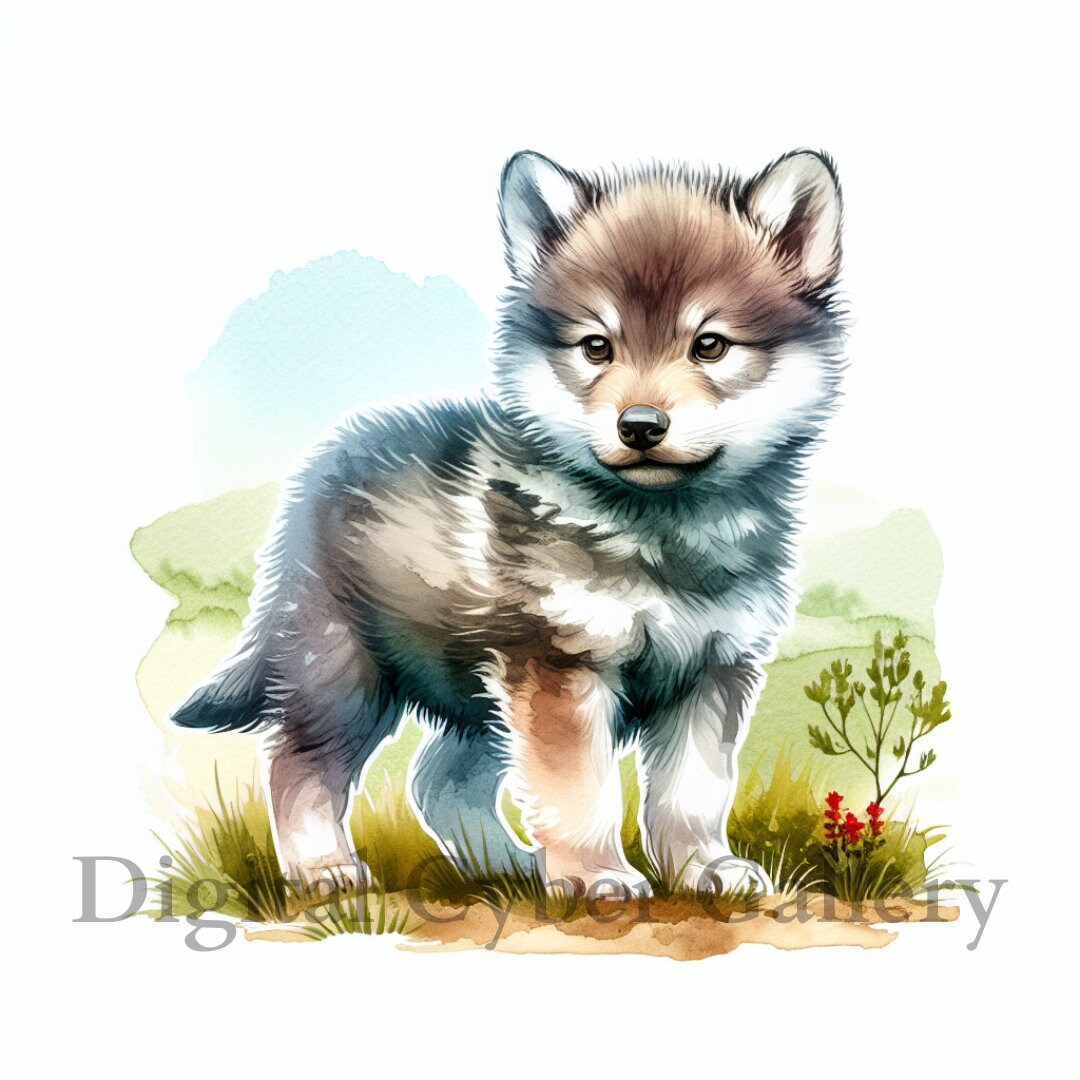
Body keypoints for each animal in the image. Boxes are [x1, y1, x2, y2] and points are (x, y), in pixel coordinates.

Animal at [171, 149, 846, 899]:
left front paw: (704, 867)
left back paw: (508, 865)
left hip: (475, 695)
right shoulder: (560, 666)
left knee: (438, 780)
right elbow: (583, 791)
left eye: (710, 345)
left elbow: (690, 795)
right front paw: (596, 875)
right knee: (300, 764)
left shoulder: (714, 668)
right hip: (344, 672)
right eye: (596, 348)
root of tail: (327, 460)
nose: (640, 426)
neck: (664, 530)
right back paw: (325, 868)